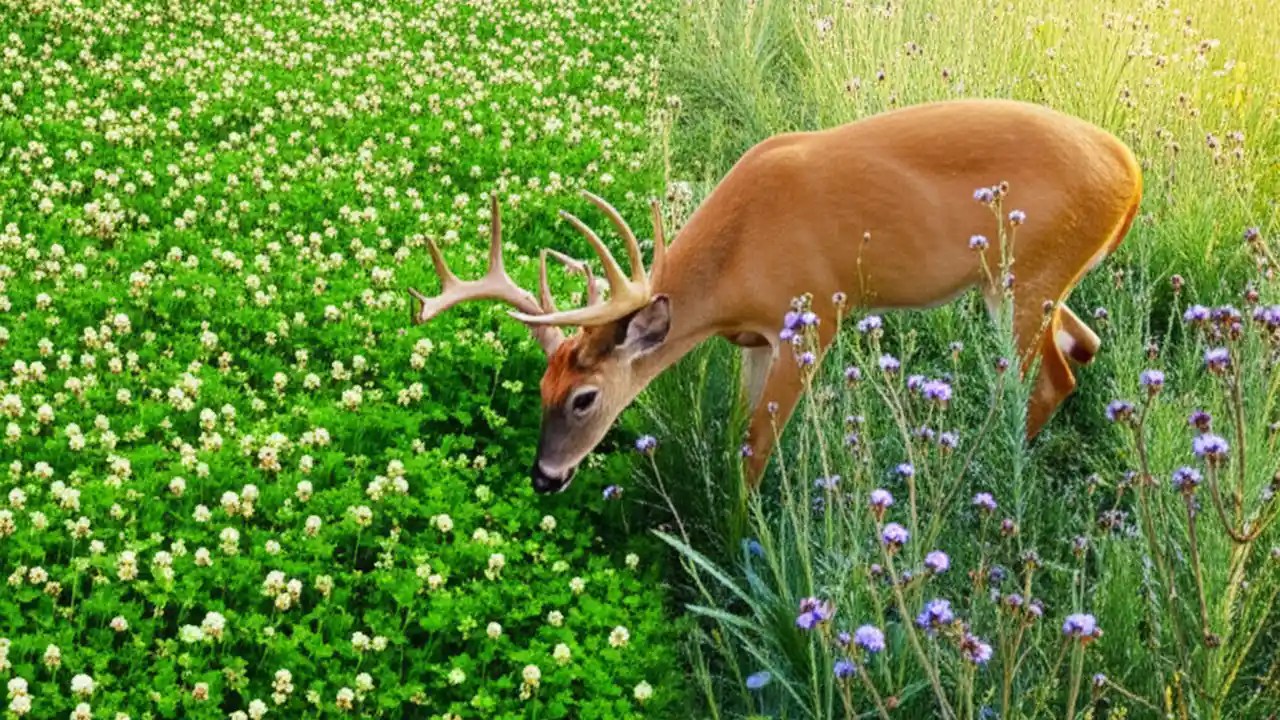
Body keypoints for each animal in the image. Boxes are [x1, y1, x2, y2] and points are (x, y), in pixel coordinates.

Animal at [409, 98, 1143, 493]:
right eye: (540, 389)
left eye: (584, 398)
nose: (544, 476)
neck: (734, 267)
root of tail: (1131, 175)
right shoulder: (753, 339)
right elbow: (739, 431)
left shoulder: (811, 315)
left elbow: (757, 446)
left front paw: (742, 543)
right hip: (1026, 280)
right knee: (1084, 344)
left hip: (1028, 275)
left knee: (1045, 378)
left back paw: (980, 477)